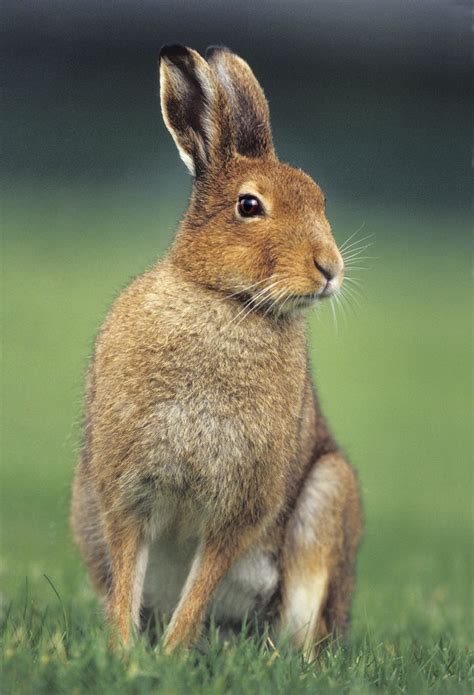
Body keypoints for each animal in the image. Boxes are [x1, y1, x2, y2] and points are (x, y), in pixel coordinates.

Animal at [71, 43, 362, 657]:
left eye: (320, 199)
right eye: (249, 205)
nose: (330, 268)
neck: (223, 299)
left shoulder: (239, 508)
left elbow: (202, 583)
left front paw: (168, 656)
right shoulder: (125, 493)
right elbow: (130, 573)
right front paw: (126, 655)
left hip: (327, 499)